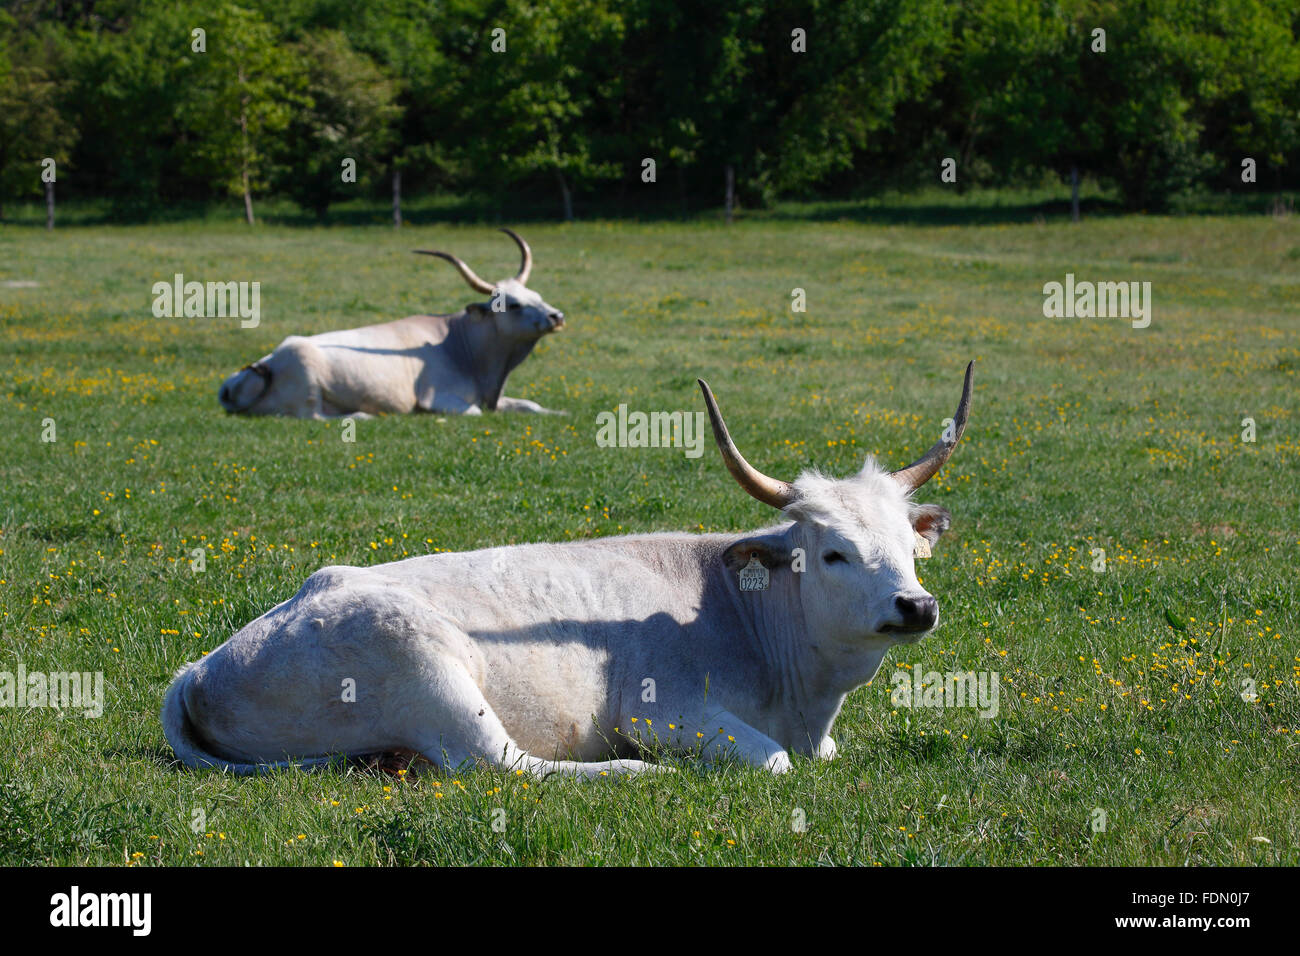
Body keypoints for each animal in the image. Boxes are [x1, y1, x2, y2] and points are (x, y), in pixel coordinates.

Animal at [164, 362, 974, 779]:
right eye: (832, 552)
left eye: (908, 547)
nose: (916, 606)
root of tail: (200, 667)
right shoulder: (667, 708)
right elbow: (774, 761)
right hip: (427, 669)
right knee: (502, 764)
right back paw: (635, 773)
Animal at [217, 229, 566, 418]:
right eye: (512, 304)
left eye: (536, 295)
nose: (556, 316)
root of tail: (264, 363)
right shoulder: (440, 400)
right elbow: (474, 412)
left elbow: (532, 405)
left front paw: (561, 411)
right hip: (308, 388)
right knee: (313, 416)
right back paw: (363, 416)